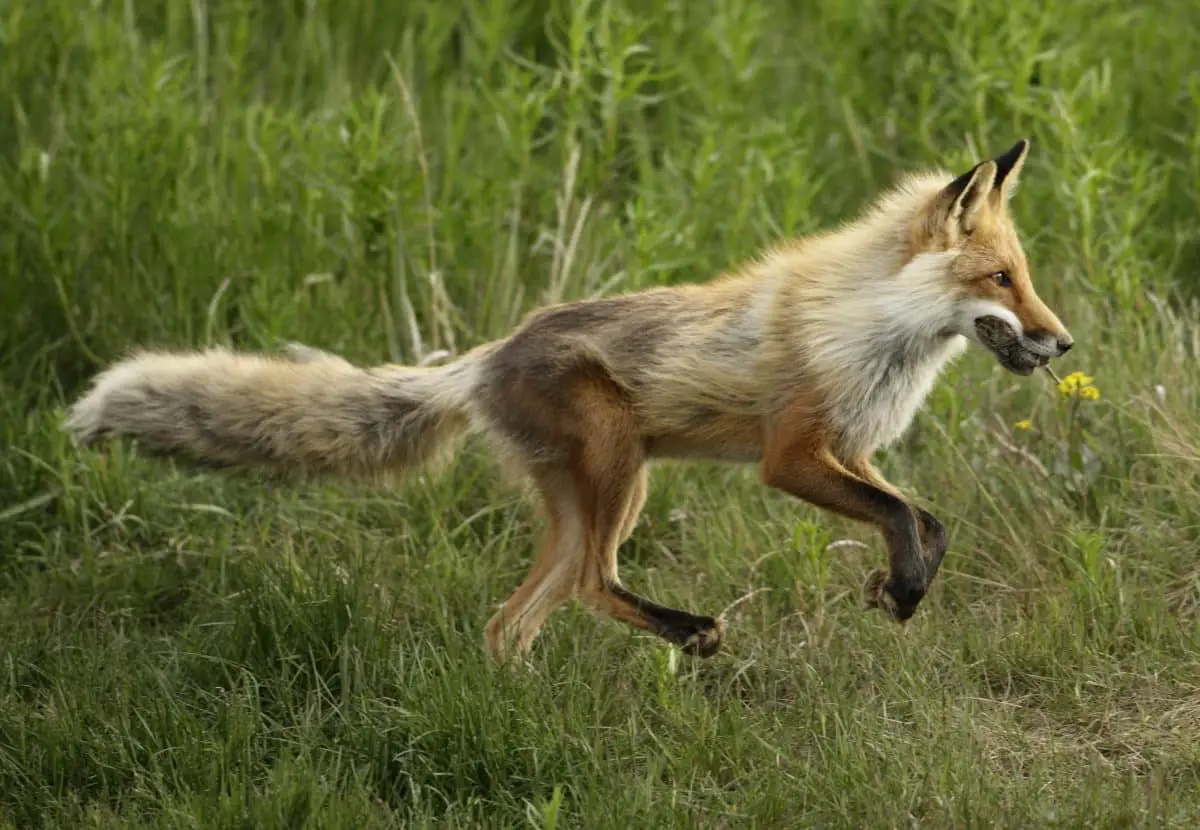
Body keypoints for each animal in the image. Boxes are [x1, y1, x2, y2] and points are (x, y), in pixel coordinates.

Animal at [65, 138, 1073, 663]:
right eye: (1000, 279)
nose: (1063, 342)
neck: (874, 323)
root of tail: (482, 356)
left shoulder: (851, 451)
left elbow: (925, 520)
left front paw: (901, 588)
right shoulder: (790, 454)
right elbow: (906, 516)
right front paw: (900, 589)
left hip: (589, 495)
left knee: (511, 622)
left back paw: (516, 706)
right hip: (620, 474)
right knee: (589, 584)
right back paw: (687, 632)